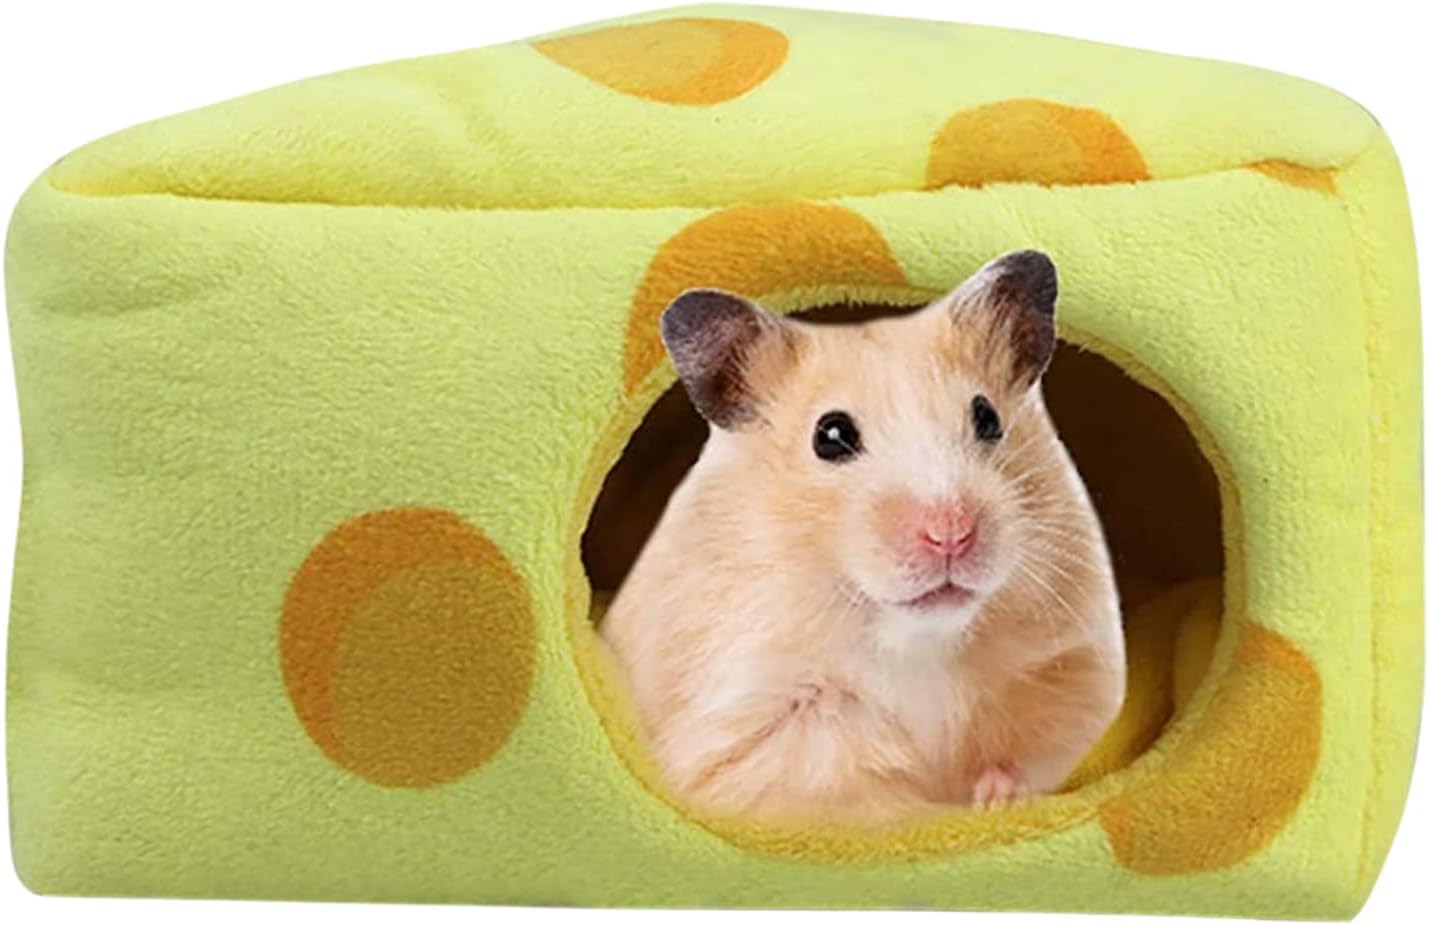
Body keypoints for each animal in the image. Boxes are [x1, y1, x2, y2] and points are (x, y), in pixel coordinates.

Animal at [599, 250, 1125, 826]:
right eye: (830, 436)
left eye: (987, 418)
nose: (951, 533)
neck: (916, 641)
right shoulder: (762, 729)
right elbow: (862, 804)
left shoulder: (1069, 668)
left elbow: (1030, 755)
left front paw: (997, 797)